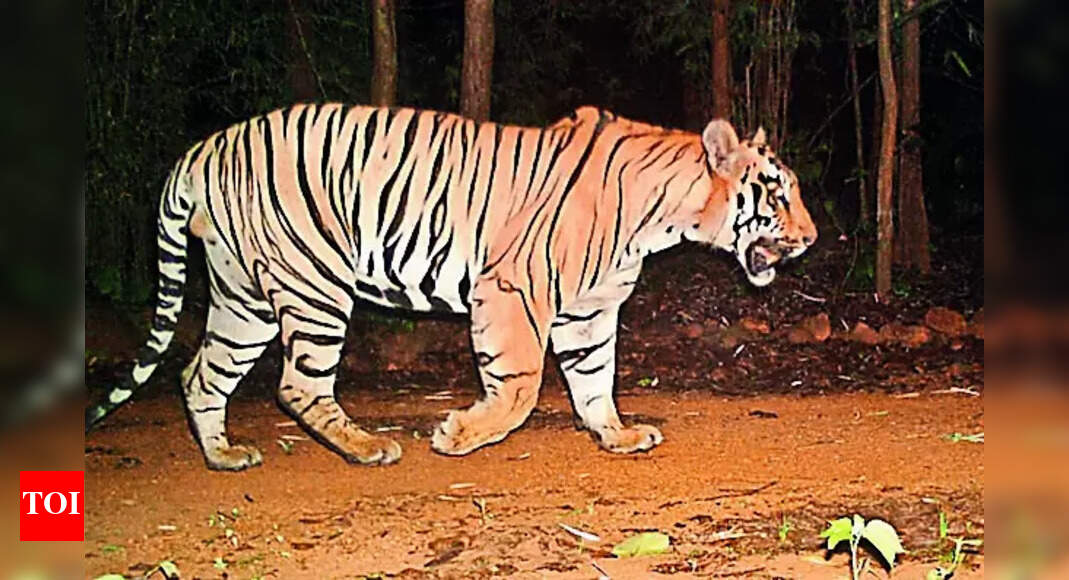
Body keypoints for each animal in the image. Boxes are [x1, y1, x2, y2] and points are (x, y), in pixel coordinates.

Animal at [86, 104, 816, 471]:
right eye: (776, 193)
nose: (811, 237)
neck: (663, 217)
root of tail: (202, 148)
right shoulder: (512, 289)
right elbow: (520, 388)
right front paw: (458, 434)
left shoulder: (588, 311)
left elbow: (594, 380)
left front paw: (616, 436)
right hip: (314, 282)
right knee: (296, 385)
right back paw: (368, 448)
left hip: (244, 297)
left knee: (200, 377)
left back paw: (223, 455)